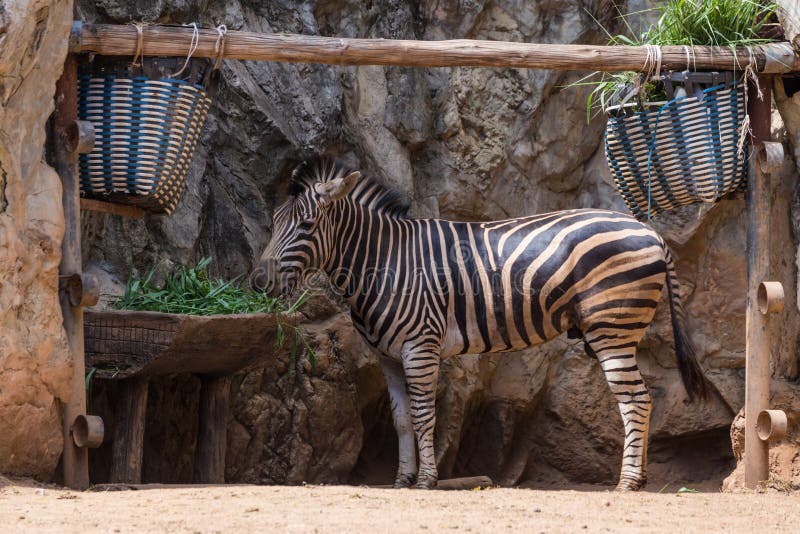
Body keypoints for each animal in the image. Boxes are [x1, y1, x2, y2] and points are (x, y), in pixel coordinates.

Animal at [254, 158, 709, 491]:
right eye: (274, 223)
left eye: (307, 226)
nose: (259, 281)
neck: (386, 263)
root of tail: (649, 230)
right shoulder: (388, 356)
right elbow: (401, 419)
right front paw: (401, 479)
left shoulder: (421, 346)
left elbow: (423, 414)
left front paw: (426, 480)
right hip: (623, 331)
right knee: (643, 398)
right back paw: (640, 478)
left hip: (611, 327)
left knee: (636, 400)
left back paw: (627, 482)